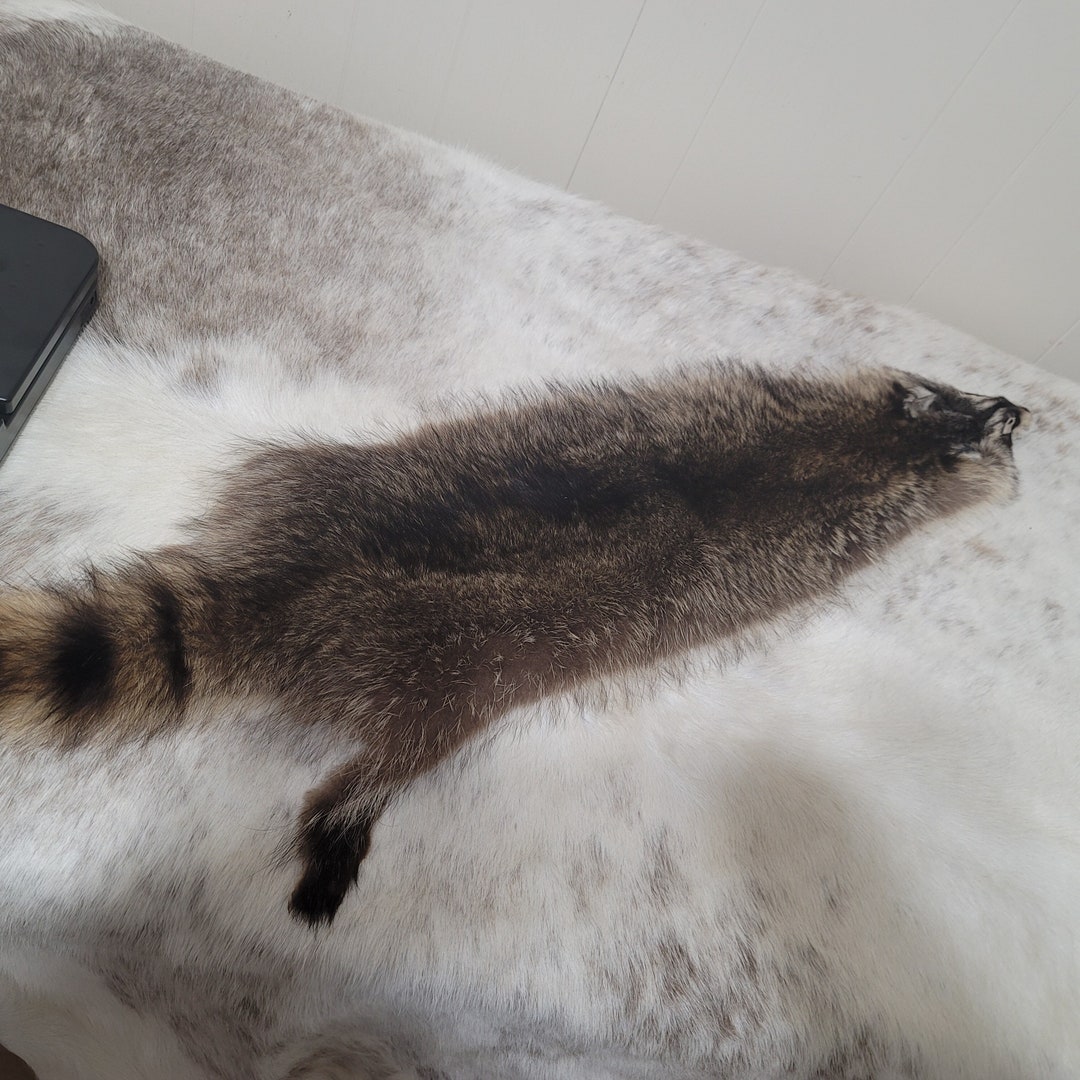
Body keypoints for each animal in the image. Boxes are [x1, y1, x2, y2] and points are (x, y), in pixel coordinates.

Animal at [0, 363, 1024, 924]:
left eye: (985, 407)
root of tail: (281, 594)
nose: (1015, 406)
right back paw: (339, 825)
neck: (884, 442)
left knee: (277, 466)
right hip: (441, 684)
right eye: (1003, 431)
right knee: (376, 771)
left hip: (320, 478)